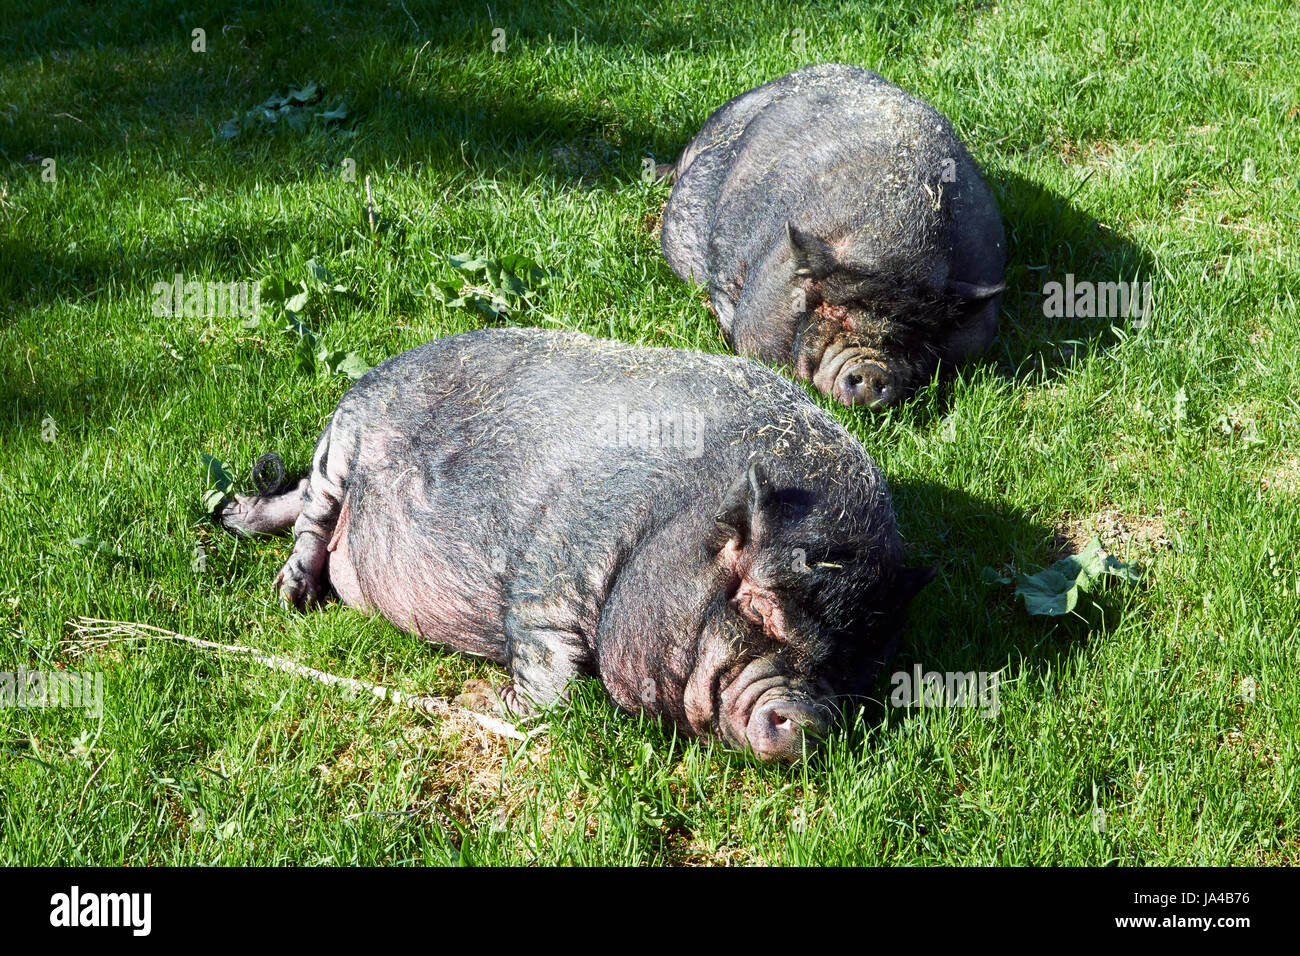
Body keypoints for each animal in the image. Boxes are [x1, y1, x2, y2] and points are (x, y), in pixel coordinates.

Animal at [220, 328, 933, 762]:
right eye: (758, 605)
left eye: (862, 657)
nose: (808, 720)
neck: (672, 521)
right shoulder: (557, 562)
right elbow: (550, 671)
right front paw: (488, 701)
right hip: (343, 444)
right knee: (313, 519)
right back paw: (288, 592)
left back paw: (234, 517)